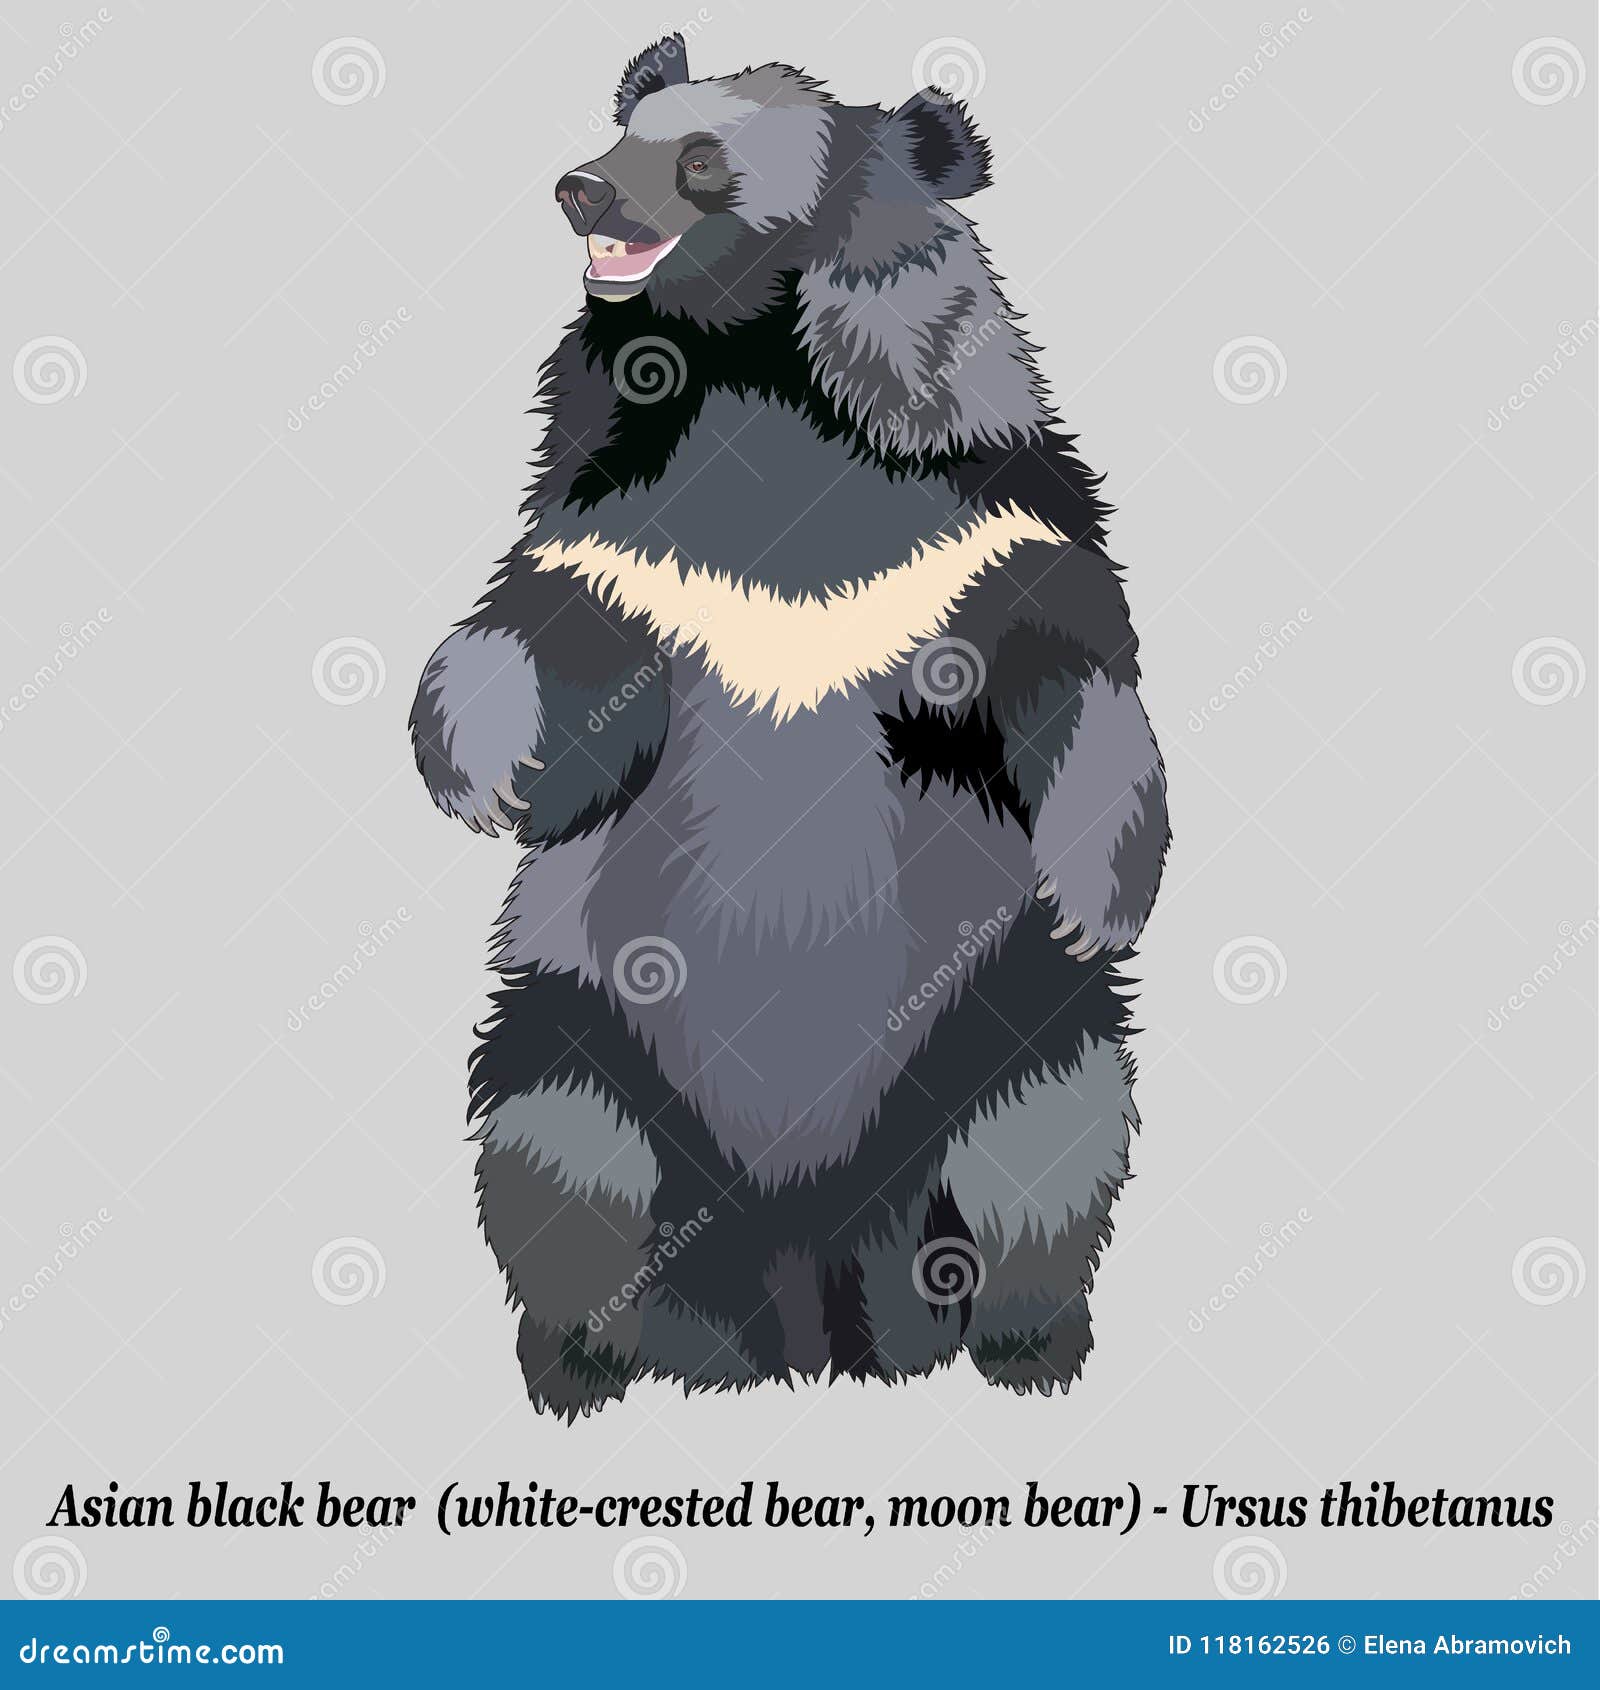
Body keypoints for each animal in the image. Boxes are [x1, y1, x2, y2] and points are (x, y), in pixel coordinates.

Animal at [410, 36, 1169, 1418]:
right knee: (557, 1170)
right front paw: (484, 775)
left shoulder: (979, 526)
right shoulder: (618, 534)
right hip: (581, 1031)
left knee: (1044, 1159)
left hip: (1007, 1024)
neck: (753, 383)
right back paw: (581, 1366)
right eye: (626, 132)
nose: (579, 191)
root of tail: (803, 1282)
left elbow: (1073, 672)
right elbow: (539, 638)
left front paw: (1101, 887)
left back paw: (1026, 1350)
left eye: (703, 162)